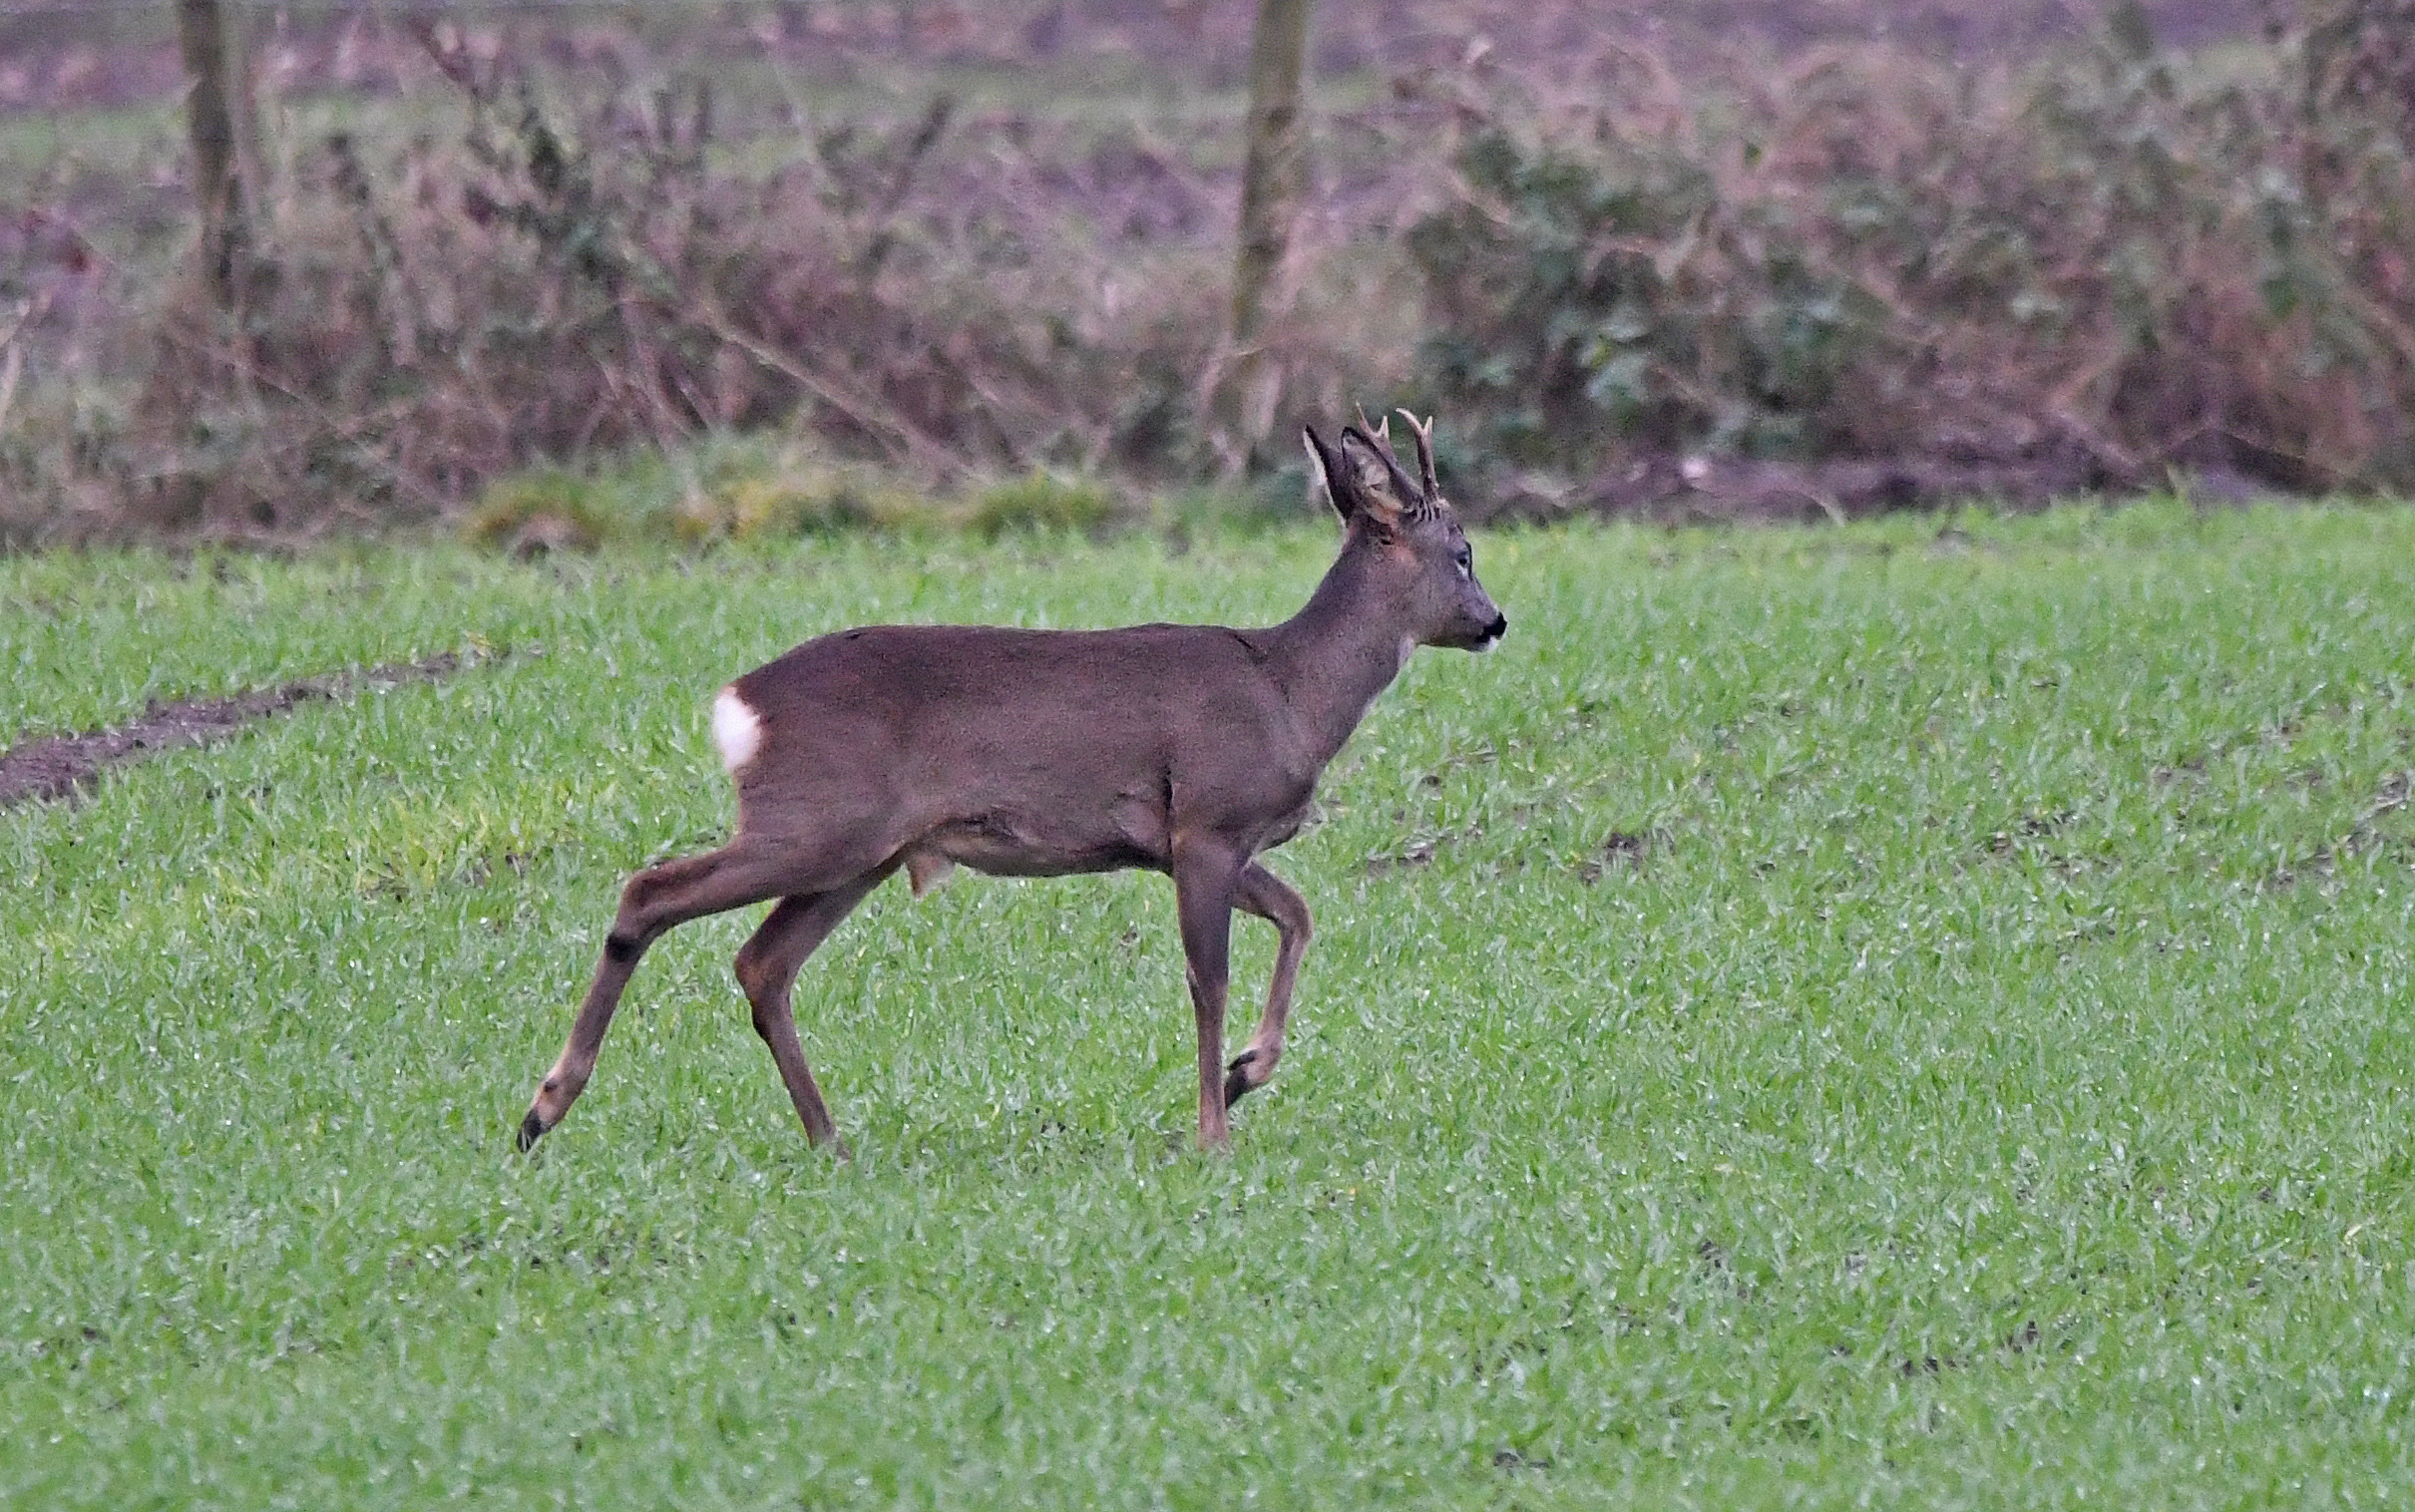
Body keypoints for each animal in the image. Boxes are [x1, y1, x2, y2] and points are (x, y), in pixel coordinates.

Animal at [516, 413, 1507, 1157]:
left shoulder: (1190, 843)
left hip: (857, 854)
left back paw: (827, 1137)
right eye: (1462, 551)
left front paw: (1246, 1075)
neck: (1289, 691)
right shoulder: (1207, 825)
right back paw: (543, 1107)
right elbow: (1208, 978)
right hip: (814, 823)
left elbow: (1298, 915)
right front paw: (1214, 1129)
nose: (1494, 621)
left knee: (762, 962)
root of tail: (739, 704)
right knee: (650, 892)